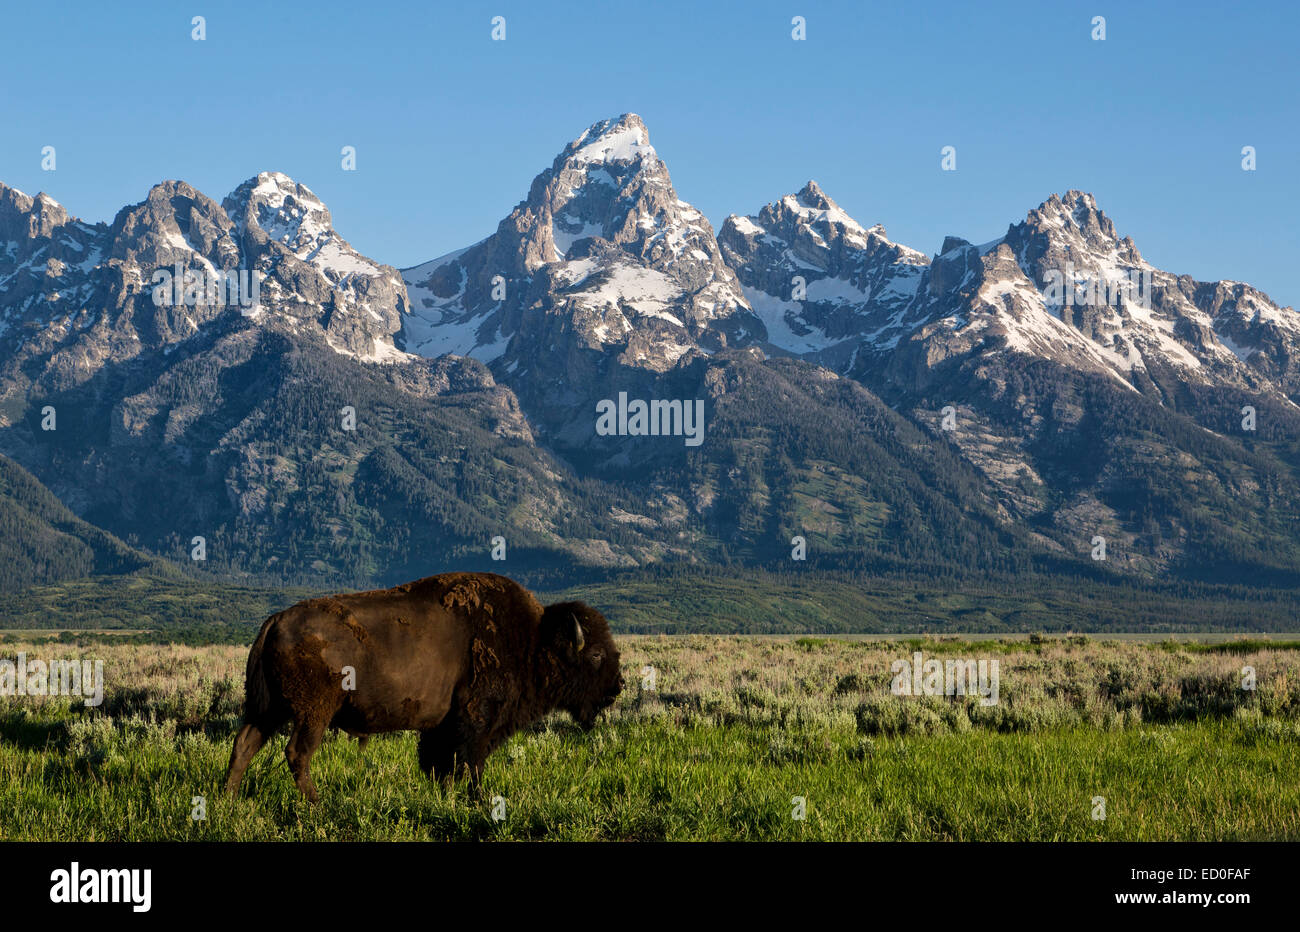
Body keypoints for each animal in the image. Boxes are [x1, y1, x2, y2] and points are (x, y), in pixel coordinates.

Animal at [223, 572, 623, 801]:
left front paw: (441, 796)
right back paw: (317, 804)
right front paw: (479, 800)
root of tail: (276, 620)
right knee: (297, 753)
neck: (533, 639)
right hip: (312, 713)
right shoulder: (477, 720)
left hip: (268, 708)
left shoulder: (443, 727)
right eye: (596, 654)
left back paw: (229, 799)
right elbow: (471, 763)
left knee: (244, 744)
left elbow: (440, 762)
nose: (617, 686)